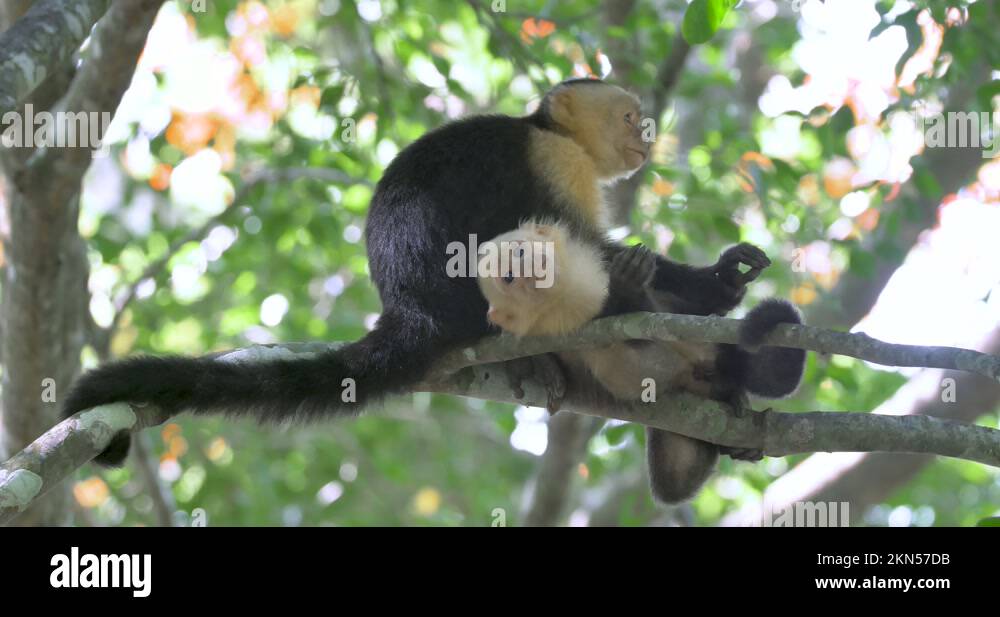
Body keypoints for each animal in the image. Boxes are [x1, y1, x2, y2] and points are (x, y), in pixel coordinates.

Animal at [63, 78, 773, 467]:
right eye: (629, 116)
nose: (644, 139)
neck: (551, 132)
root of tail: (409, 307)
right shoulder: (554, 161)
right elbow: (578, 243)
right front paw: (696, 284)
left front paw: (722, 282)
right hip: (463, 296)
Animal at [476, 220, 805, 503]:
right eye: (508, 276)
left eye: (520, 252)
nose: (526, 269)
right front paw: (541, 367)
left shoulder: (592, 256)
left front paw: (725, 277)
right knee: (673, 483)